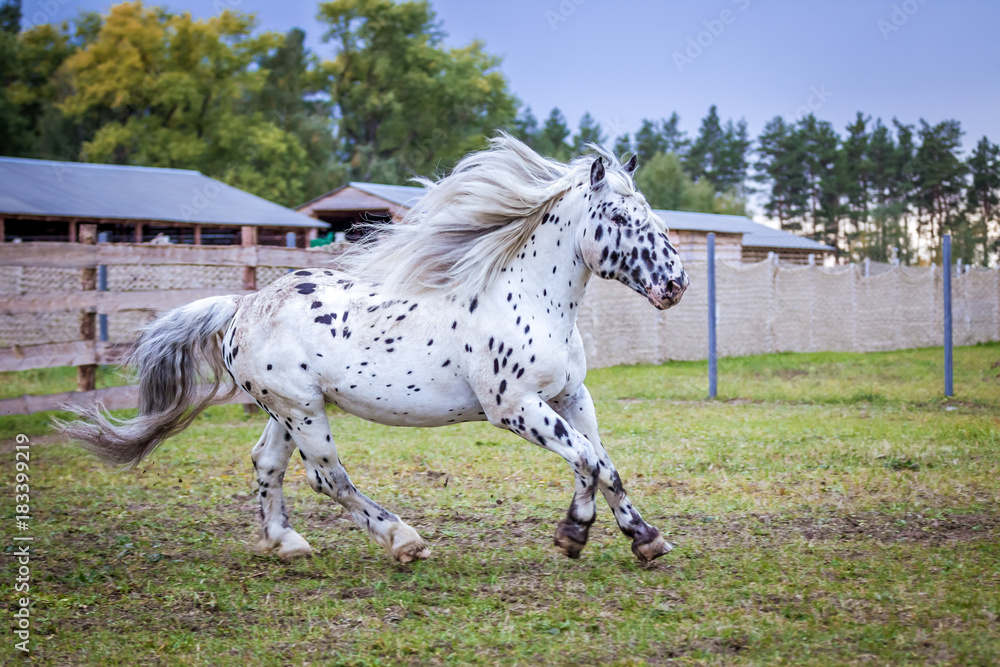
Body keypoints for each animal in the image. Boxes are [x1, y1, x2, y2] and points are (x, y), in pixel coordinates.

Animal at [62, 133, 689, 565]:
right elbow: (587, 460)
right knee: (327, 478)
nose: (676, 283)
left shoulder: (569, 396)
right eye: (618, 215)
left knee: (268, 463)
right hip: (302, 412)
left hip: (287, 410)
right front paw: (573, 533)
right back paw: (402, 539)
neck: (529, 297)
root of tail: (242, 306)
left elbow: (604, 461)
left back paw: (286, 542)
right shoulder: (514, 408)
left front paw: (644, 538)